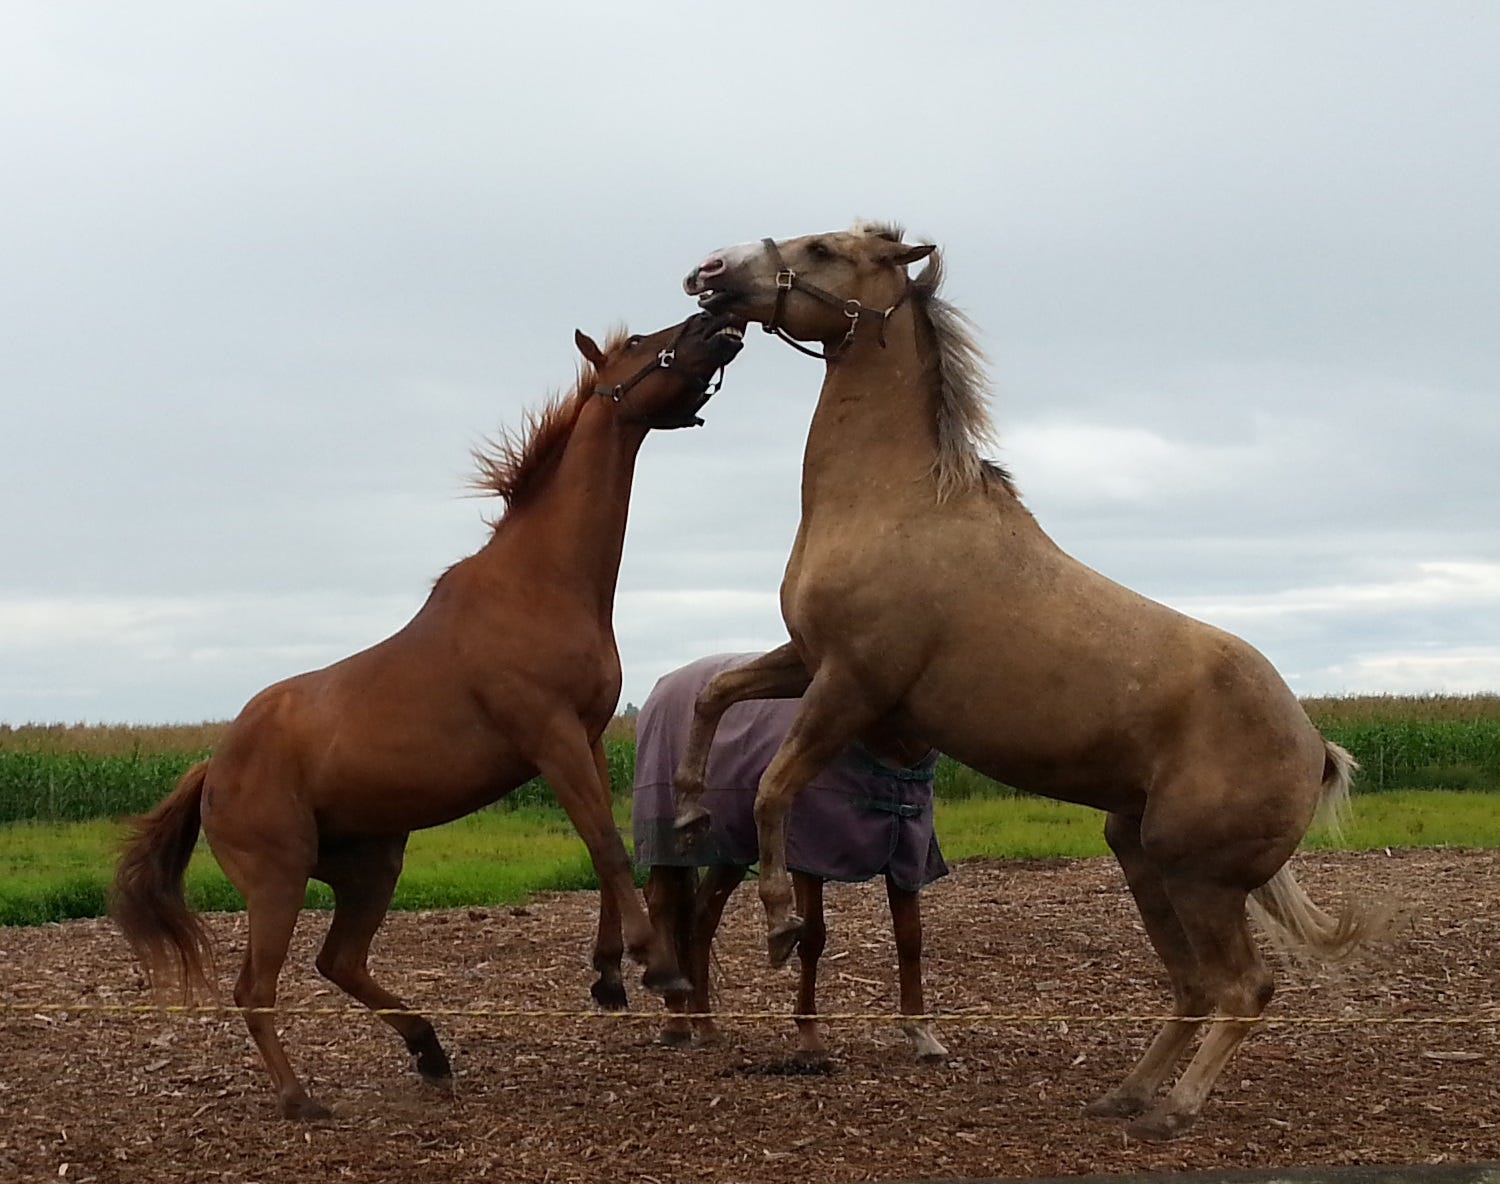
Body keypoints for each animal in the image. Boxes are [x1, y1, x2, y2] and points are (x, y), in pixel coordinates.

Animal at [110, 311, 745, 1119]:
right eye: (636, 345)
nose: (713, 323)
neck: (537, 582)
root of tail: (211, 769)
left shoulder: (590, 735)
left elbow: (604, 842)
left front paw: (608, 974)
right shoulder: (551, 736)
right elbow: (605, 844)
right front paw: (656, 967)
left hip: (370, 868)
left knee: (338, 961)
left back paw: (429, 1049)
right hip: (278, 880)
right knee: (257, 986)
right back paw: (300, 1097)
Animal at [628, 653, 950, 1064]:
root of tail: (662, 687)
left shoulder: (907, 853)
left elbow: (910, 937)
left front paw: (922, 1033)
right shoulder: (807, 857)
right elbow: (812, 938)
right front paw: (809, 1039)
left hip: (730, 854)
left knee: (701, 918)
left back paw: (706, 1025)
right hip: (670, 845)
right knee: (662, 904)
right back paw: (676, 1021)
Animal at [674, 223, 1384, 1139]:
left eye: (824, 248)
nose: (711, 272)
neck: (893, 502)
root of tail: (1314, 747)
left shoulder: (851, 685)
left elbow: (770, 791)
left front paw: (779, 924)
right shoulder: (806, 660)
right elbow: (714, 695)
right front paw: (690, 808)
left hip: (1200, 877)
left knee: (1243, 988)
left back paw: (1174, 1110)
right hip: (1142, 855)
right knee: (1193, 985)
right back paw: (1124, 1093)